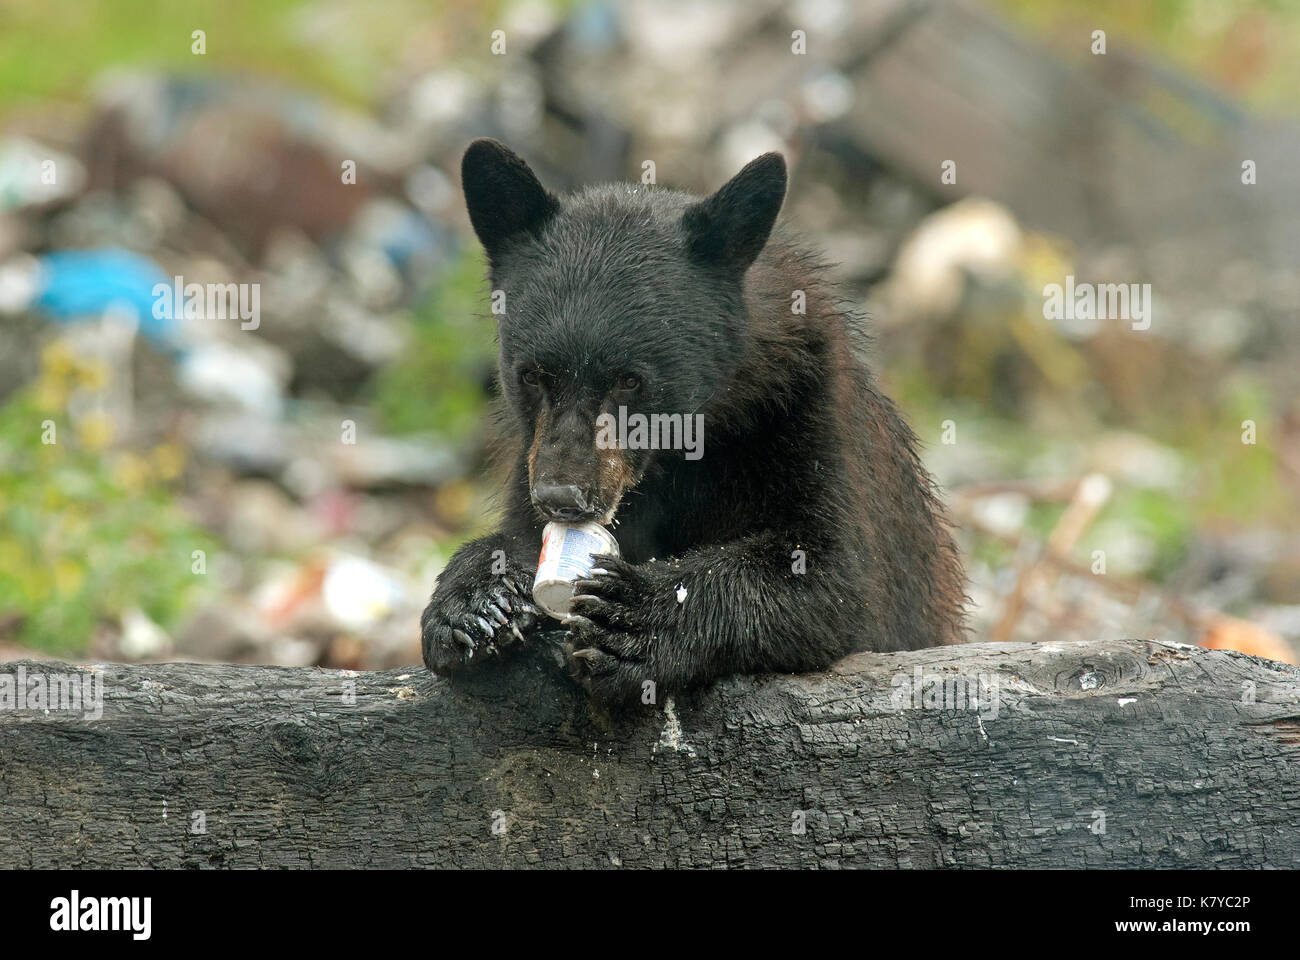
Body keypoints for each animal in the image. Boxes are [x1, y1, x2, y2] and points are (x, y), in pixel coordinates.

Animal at [420, 138, 966, 703]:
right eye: (531, 374)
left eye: (630, 379)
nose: (561, 498)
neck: (689, 450)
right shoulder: (534, 458)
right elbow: (520, 535)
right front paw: (478, 598)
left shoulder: (809, 422)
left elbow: (832, 576)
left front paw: (632, 619)